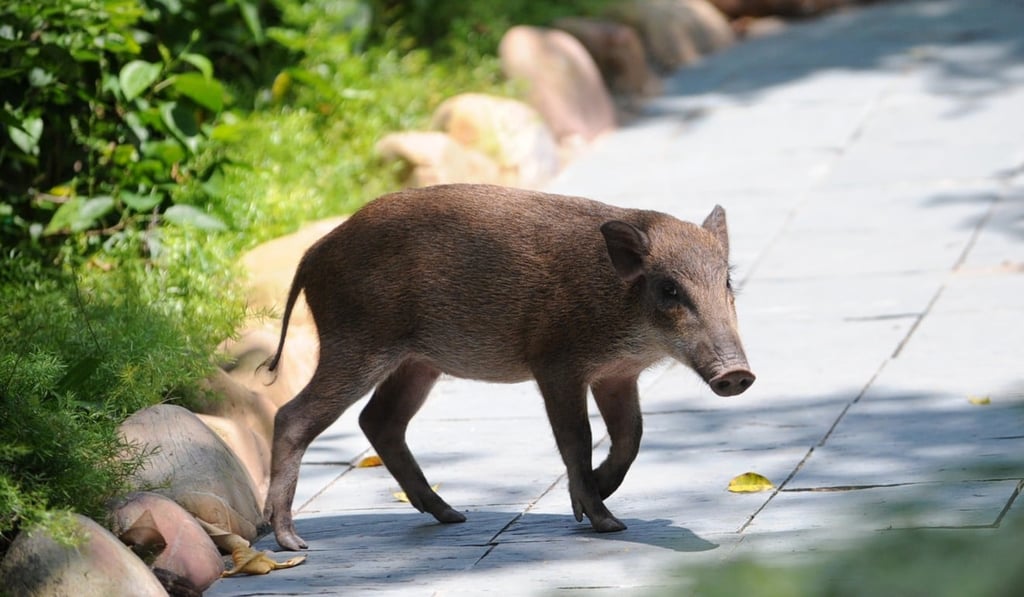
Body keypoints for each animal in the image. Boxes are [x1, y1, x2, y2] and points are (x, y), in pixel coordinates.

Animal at [262, 183, 754, 550]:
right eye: (669, 288)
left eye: (727, 281)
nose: (737, 374)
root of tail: (314, 252)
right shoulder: (555, 362)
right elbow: (578, 438)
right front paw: (605, 522)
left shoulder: (617, 374)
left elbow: (630, 436)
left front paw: (599, 500)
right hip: (357, 344)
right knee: (292, 415)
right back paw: (293, 543)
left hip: (417, 362)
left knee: (378, 420)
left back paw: (453, 516)